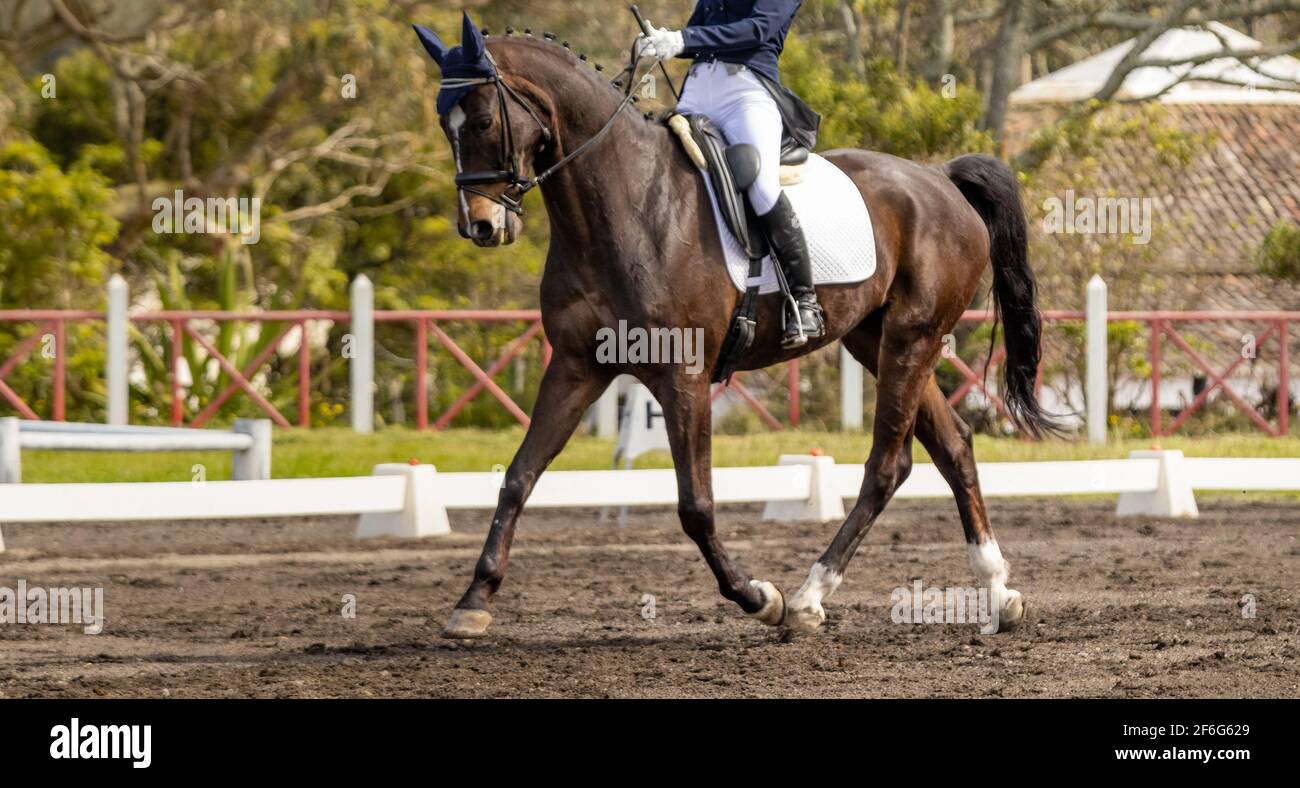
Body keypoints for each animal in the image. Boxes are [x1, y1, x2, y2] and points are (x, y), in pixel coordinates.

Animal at [425, 29, 1058, 639]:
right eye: (444, 123)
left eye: (482, 121)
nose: (481, 226)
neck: (622, 203)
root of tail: (939, 178)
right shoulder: (577, 366)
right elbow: (518, 477)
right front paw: (473, 601)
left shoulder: (683, 377)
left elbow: (695, 506)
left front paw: (759, 598)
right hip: (877, 341)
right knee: (950, 448)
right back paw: (998, 594)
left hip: (913, 338)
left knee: (886, 465)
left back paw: (805, 598)